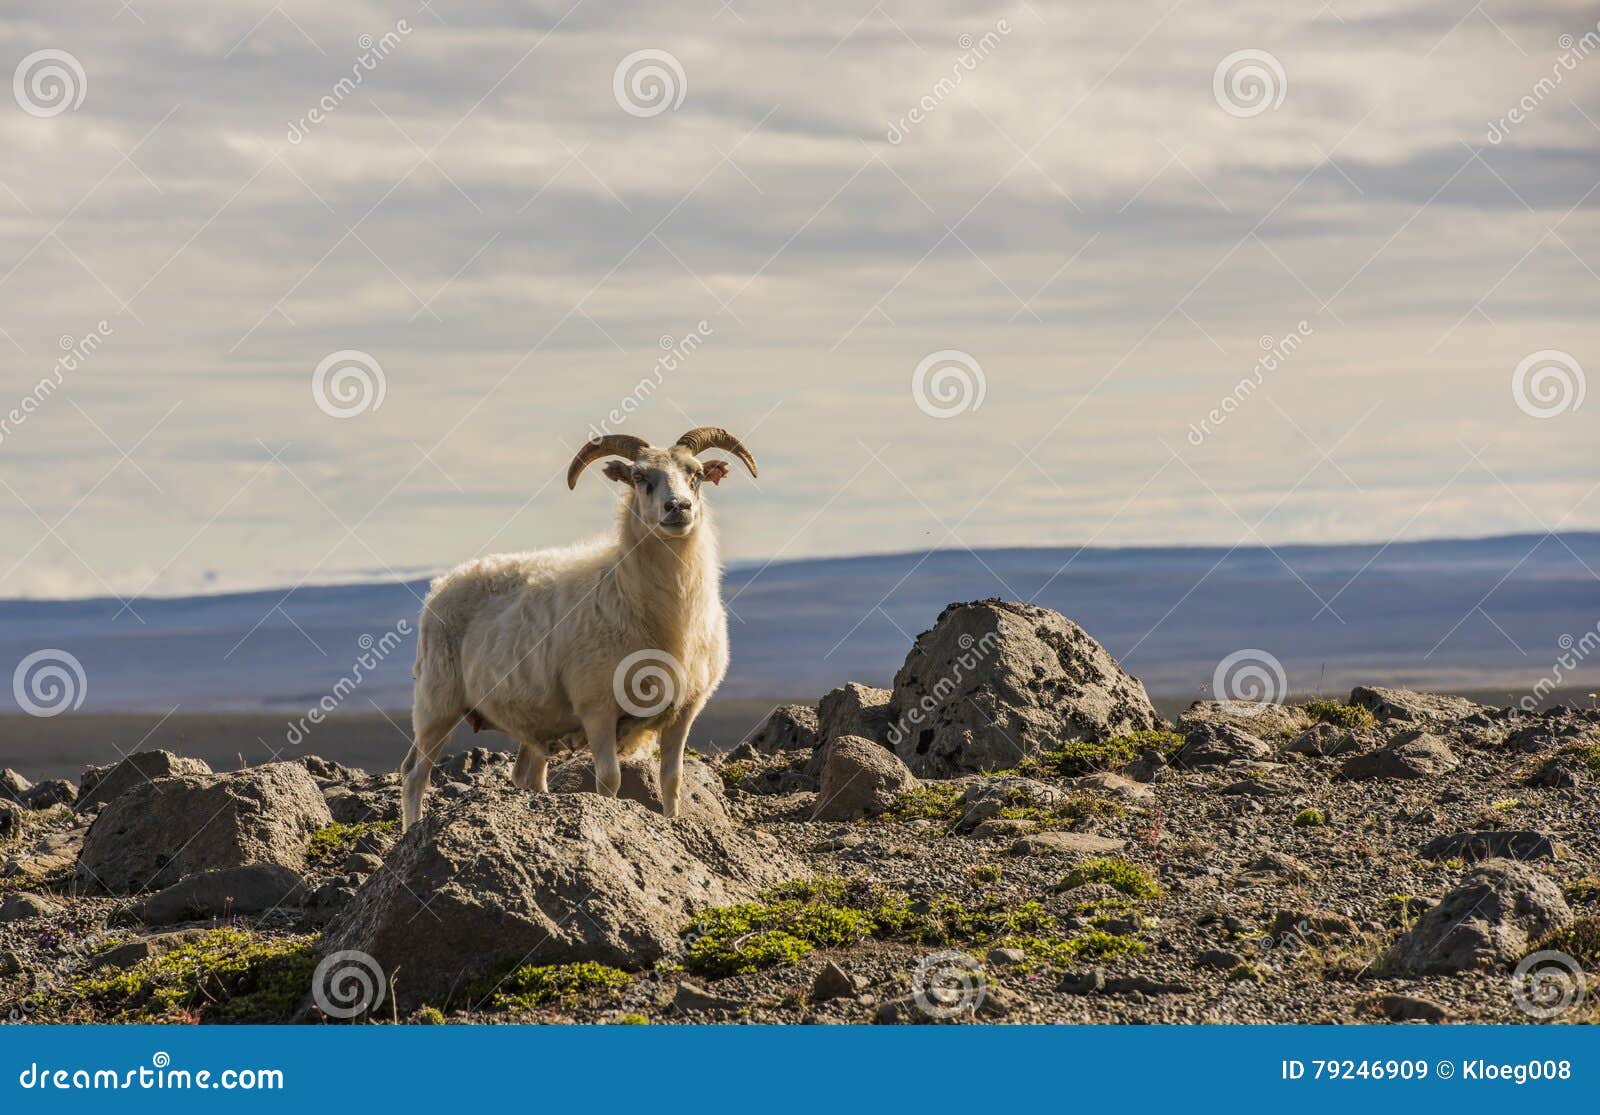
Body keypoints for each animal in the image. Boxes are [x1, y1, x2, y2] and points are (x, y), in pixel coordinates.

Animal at [399, 427, 758, 831]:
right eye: (639, 477)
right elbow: (609, 780)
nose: (678, 507)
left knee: (525, 774)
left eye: (696, 474)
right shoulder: (597, 708)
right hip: (436, 702)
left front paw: (673, 823)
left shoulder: (685, 711)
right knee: (415, 775)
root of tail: (442, 583)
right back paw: (412, 829)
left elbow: (672, 779)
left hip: (533, 716)